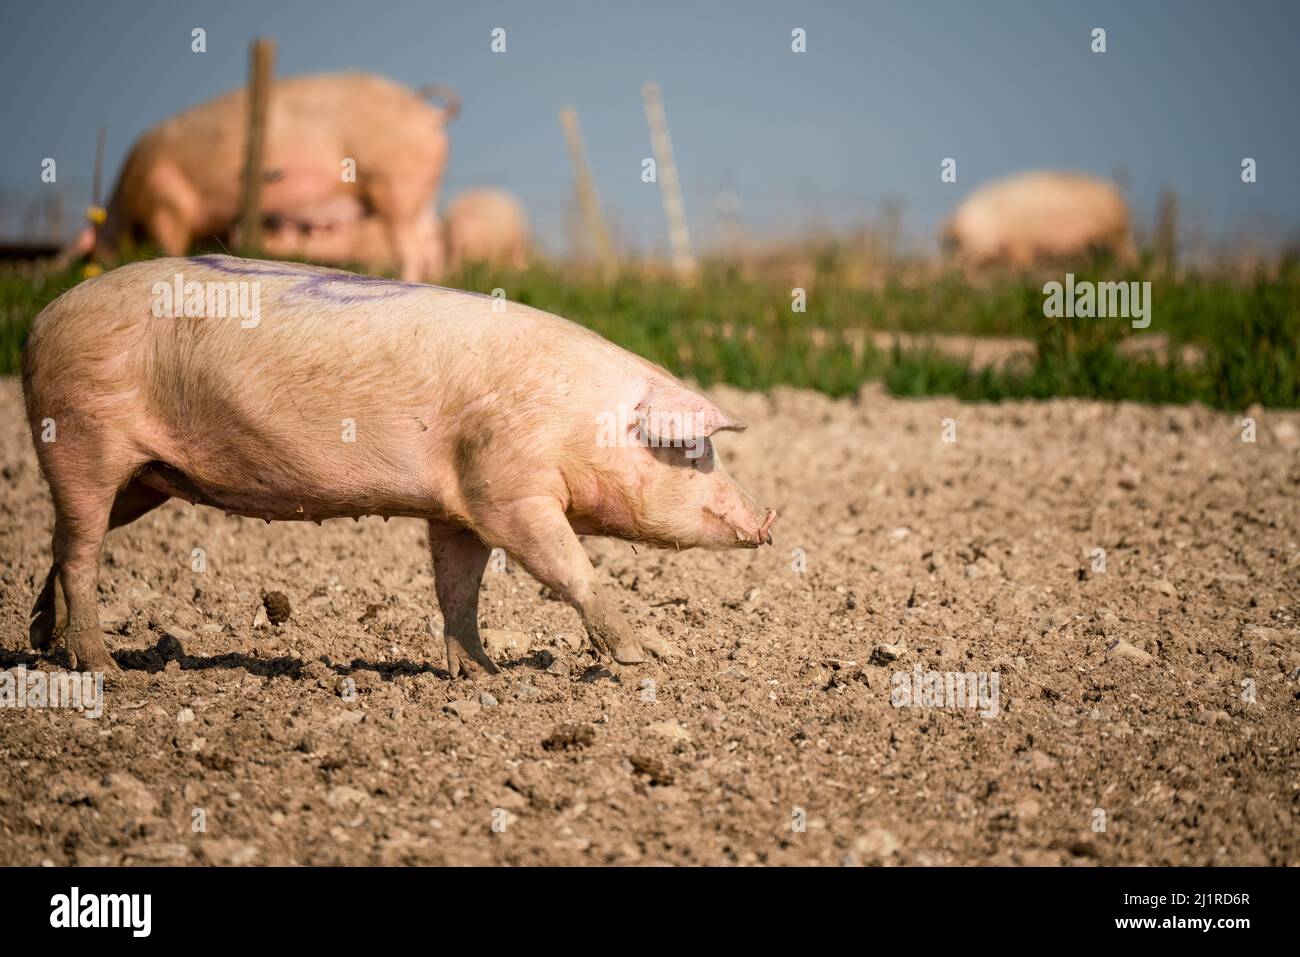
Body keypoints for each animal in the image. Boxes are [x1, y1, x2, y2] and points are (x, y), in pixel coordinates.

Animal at [22, 256, 776, 677]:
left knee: (62, 544)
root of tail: (40, 318)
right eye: (694, 451)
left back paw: (42, 642)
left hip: (142, 478)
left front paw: (483, 676)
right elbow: (571, 568)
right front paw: (639, 658)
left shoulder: (460, 509)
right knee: (80, 548)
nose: (768, 522)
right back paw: (104, 666)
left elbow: (458, 590)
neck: (576, 422)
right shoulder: (509, 491)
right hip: (83, 438)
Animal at [70, 72, 459, 281]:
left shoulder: (168, 206)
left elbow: (171, 246)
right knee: (431, 245)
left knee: (414, 248)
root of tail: (428, 114)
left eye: (94, 251)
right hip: (419, 195)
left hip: (395, 187)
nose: (96, 265)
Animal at [940, 171, 1133, 267]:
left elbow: (1022, 261)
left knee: (1126, 251)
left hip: (1116, 232)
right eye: (952, 244)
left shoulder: (1021, 241)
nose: (950, 262)